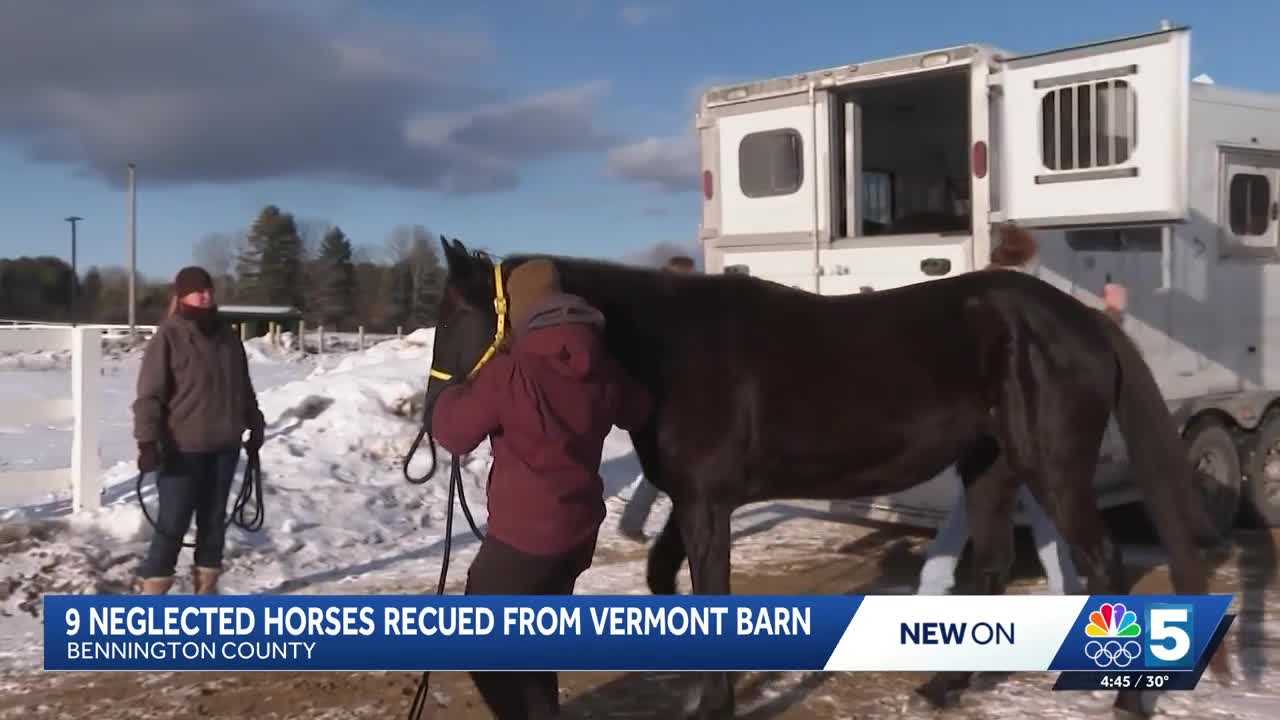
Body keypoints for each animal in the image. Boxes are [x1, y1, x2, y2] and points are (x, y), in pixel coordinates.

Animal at [421, 236, 1230, 719]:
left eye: (456, 320)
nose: (436, 423)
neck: (669, 350)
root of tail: (1087, 322)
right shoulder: (693, 502)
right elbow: (663, 576)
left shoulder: (708, 505)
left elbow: (707, 592)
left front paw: (712, 704)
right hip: (990, 465)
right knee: (995, 565)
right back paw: (943, 686)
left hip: (1052, 467)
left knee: (1103, 560)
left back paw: (1127, 702)